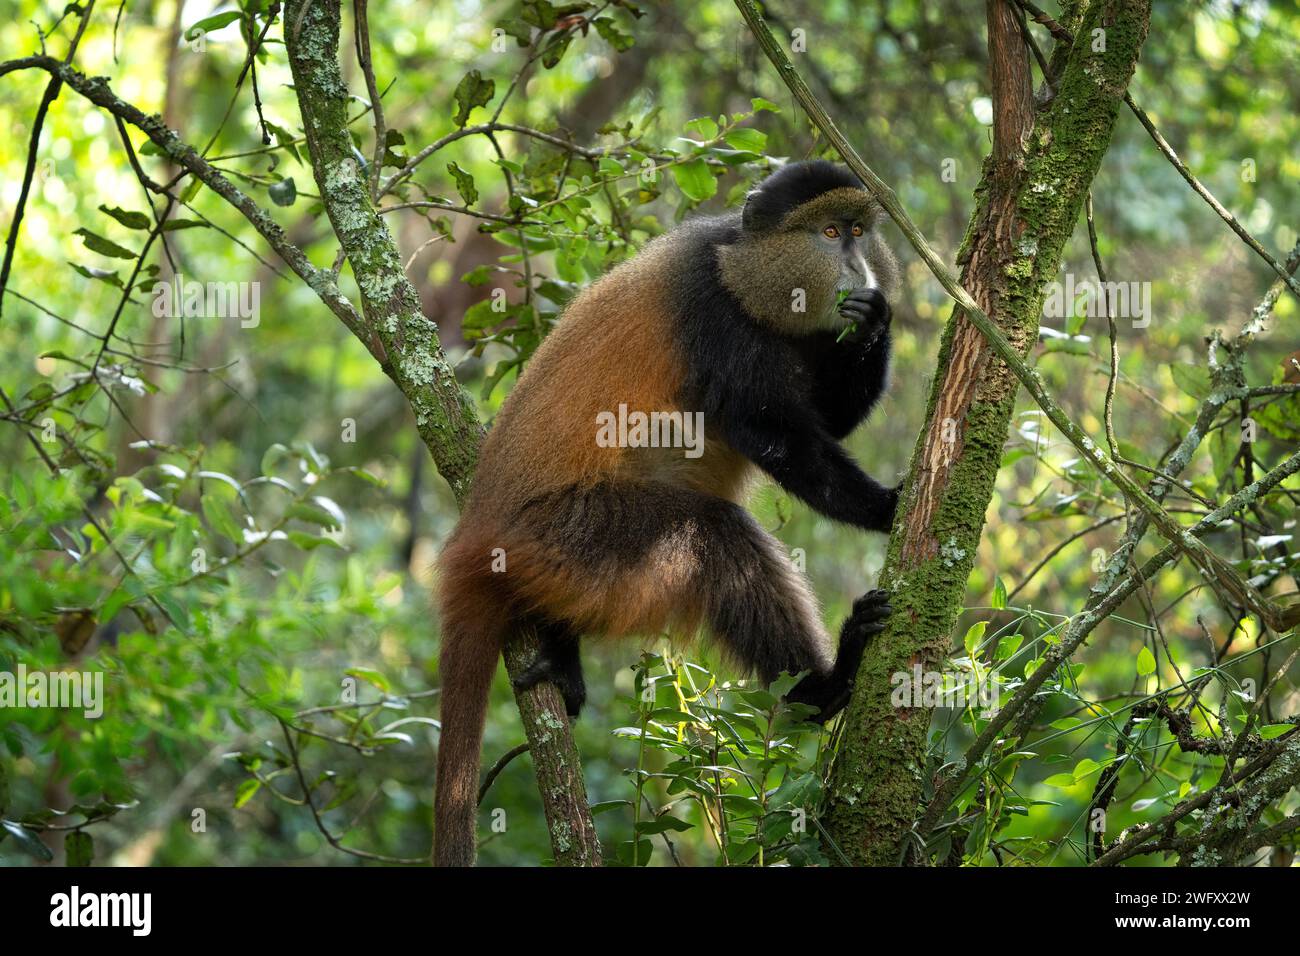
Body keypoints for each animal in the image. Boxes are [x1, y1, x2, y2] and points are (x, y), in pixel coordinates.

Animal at [434, 160, 901, 866]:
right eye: (827, 233)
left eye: (858, 231)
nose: (858, 268)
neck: (740, 268)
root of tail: (478, 531)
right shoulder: (715, 317)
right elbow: (776, 436)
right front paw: (886, 508)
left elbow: (828, 421)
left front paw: (876, 321)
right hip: (579, 533)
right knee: (717, 535)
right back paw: (818, 690)